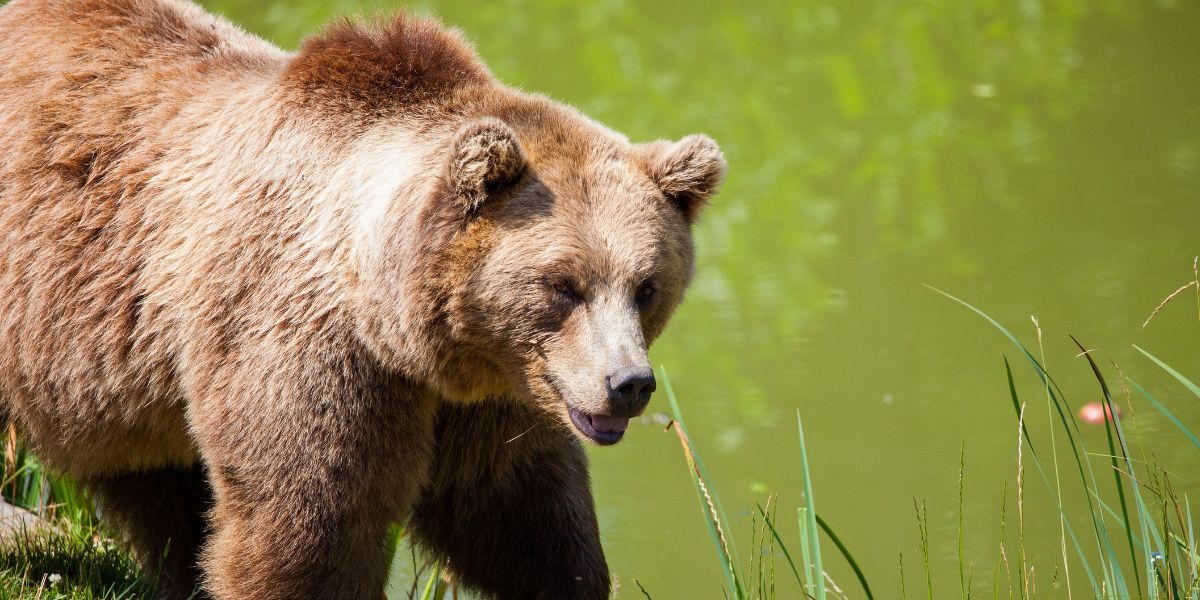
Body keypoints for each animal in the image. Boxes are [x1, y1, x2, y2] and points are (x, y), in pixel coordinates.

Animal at [0, 0, 726, 598]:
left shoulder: (493, 394)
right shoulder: (306, 344)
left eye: (646, 286)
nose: (628, 383)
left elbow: (520, 511)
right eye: (562, 284)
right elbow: (313, 519)